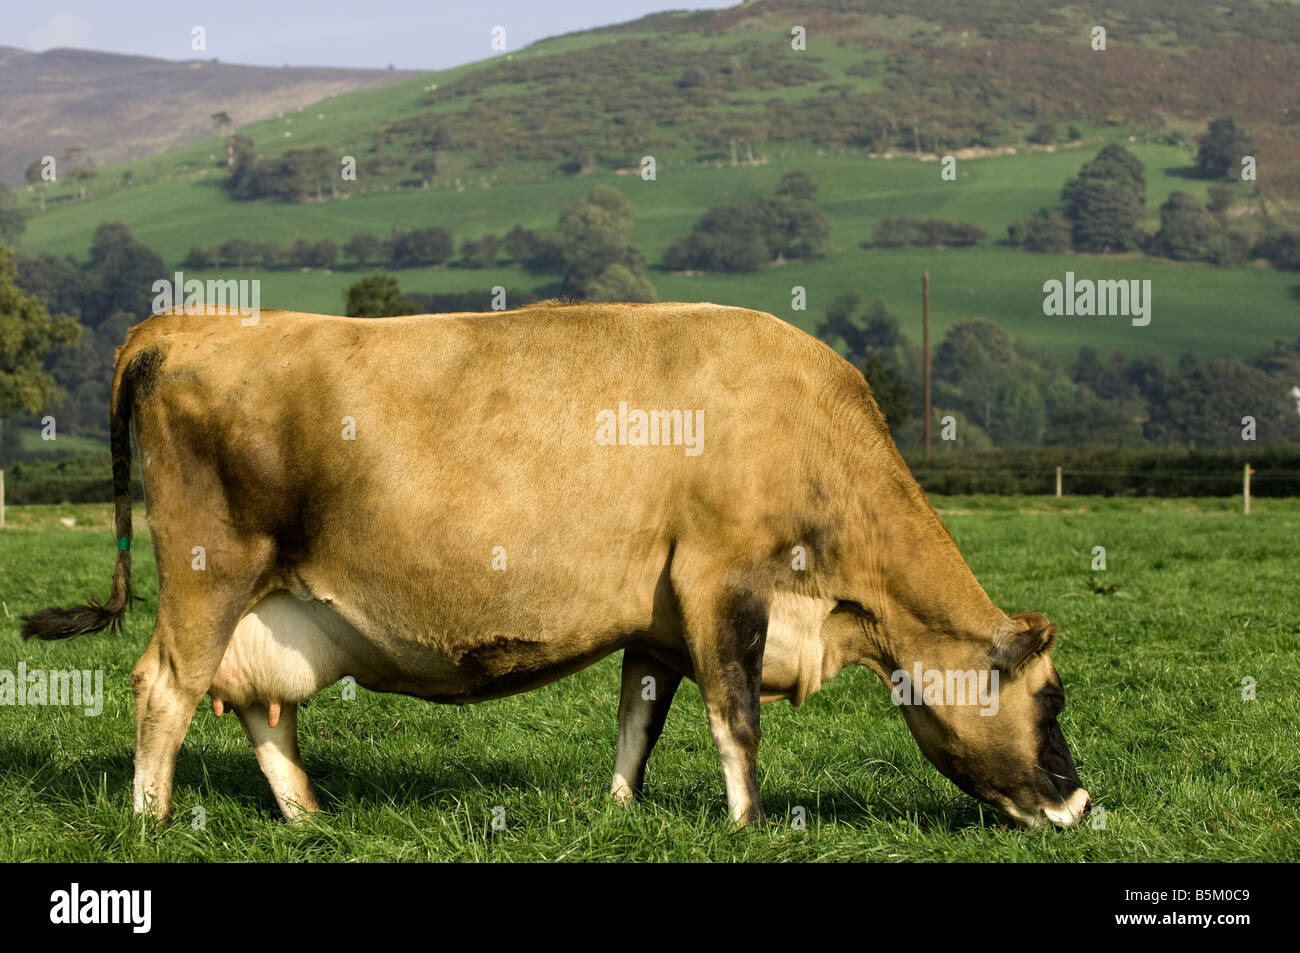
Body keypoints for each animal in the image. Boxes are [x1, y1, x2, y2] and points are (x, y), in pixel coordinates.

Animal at [22, 301, 1089, 829]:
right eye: (1051, 698)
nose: (1081, 802)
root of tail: (192, 318)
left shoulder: (660, 614)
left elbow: (640, 720)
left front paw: (619, 812)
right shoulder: (722, 582)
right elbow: (736, 716)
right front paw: (748, 825)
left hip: (268, 599)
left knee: (257, 701)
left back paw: (310, 819)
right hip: (209, 572)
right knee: (165, 687)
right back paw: (153, 822)